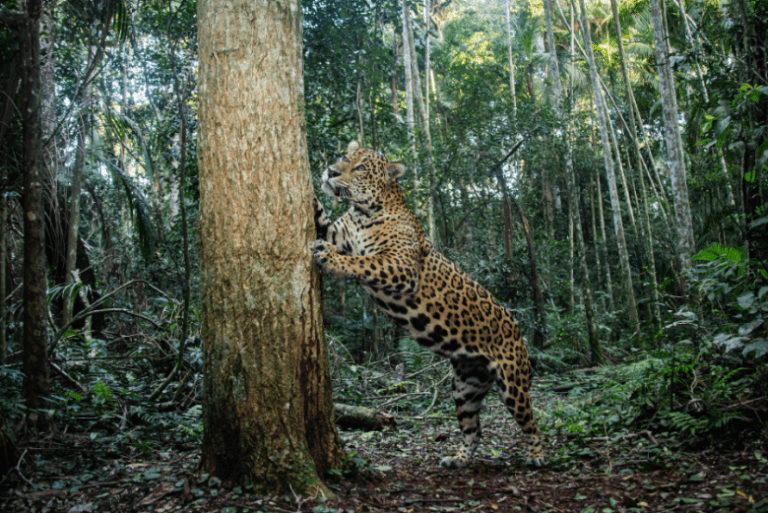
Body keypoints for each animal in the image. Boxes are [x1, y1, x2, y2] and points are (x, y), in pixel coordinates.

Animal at [312, 141, 545, 468]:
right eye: (344, 157)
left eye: (359, 168)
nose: (330, 171)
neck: (362, 211)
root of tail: (517, 328)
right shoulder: (336, 232)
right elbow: (321, 217)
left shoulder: (400, 265)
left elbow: (363, 262)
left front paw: (331, 258)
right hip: (465, 387)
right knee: (474, 430)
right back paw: (458, 459)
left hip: (512, 384)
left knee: (531, 421)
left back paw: (537, 455)